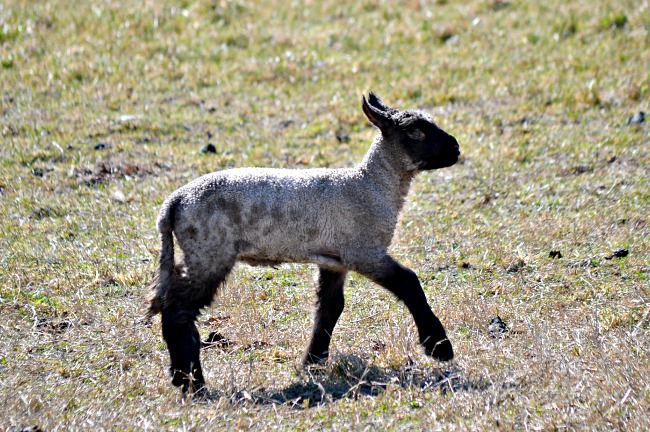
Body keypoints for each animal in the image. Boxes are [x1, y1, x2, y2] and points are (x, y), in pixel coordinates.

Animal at [147, 93, 460, 394]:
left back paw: (183, 377)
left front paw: (312, 361)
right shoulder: (363, 250)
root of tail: (173, 203)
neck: (370, 185)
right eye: (415, 132)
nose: (455, 148)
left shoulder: (335, 259)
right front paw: (439, 347)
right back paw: (191, 382)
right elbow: (409, 281)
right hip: (209, 250)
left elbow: (330, 307)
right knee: (177, 310)